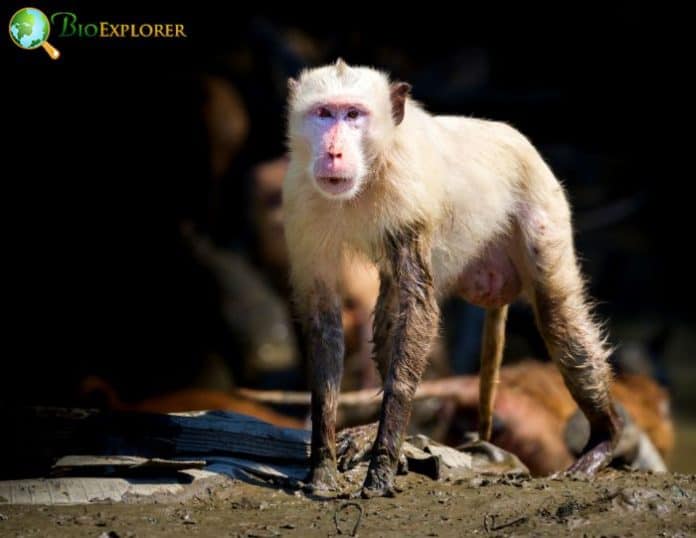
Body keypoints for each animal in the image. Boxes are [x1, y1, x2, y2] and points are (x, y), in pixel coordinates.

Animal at [283, 59, 622, 497]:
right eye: (324, 113)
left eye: (353, 115)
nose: (333, 151)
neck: (372, 169)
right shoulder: (301, 202)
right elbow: (324, 316)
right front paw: (323, 462)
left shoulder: (407, 199)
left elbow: (418, 304)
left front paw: (384, 460)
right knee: (391, 307)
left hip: (543, 204)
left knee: (556, 311)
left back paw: (604, 438)